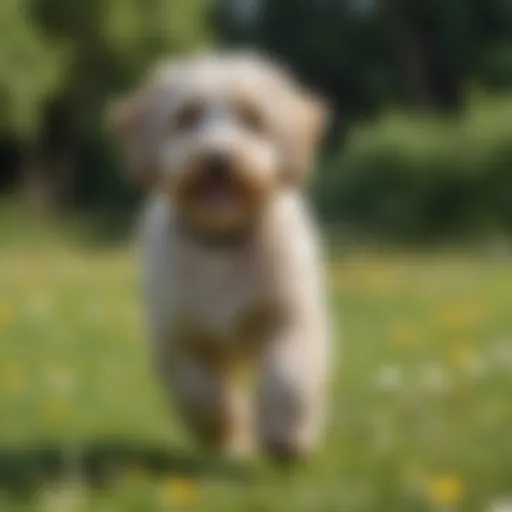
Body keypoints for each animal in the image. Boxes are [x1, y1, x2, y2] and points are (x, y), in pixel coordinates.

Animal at [108, 52, 332, 464]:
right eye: (187, 116)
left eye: (252, 117)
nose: (217, 159)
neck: (223, 243)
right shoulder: (175, 335)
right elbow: (200, 391)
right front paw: (226, 430)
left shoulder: (293, 317)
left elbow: (289, 377)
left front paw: (286, 437)